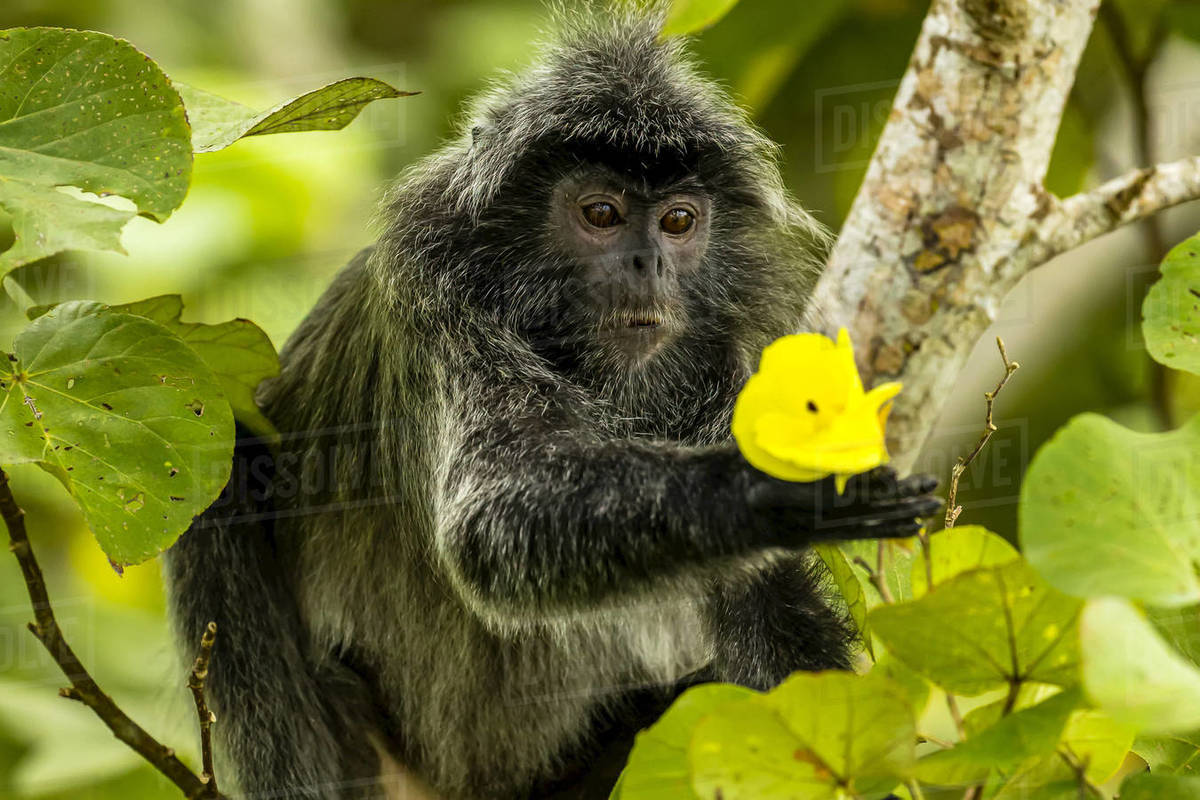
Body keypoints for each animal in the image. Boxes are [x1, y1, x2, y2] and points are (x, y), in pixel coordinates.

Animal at [164, 8, 940, 800]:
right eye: (601, 212)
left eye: (678, 223)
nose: (648, 266)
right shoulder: (433, 292)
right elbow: (491, 515)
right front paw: (773, 489)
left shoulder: (742, 347)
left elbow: (759, 600)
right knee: (220, 481)